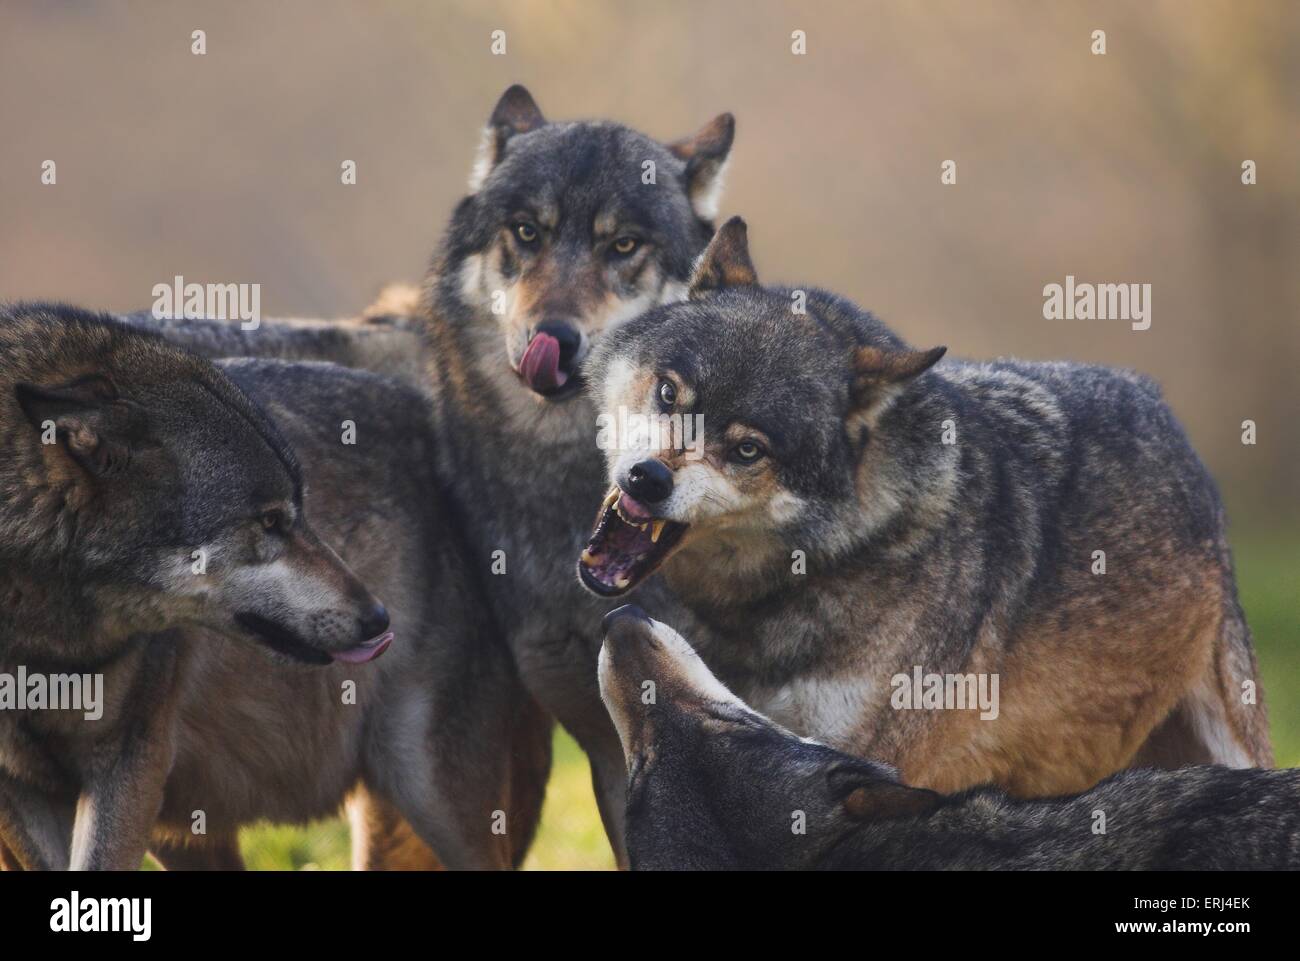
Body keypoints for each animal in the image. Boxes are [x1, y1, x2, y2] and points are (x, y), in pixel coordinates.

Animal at [0, 303, 539, 870]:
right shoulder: (21, 791)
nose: (379, 619)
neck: (40, 636)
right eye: (270, 522)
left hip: (431, 793)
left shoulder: (126, 760)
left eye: (299, 508)